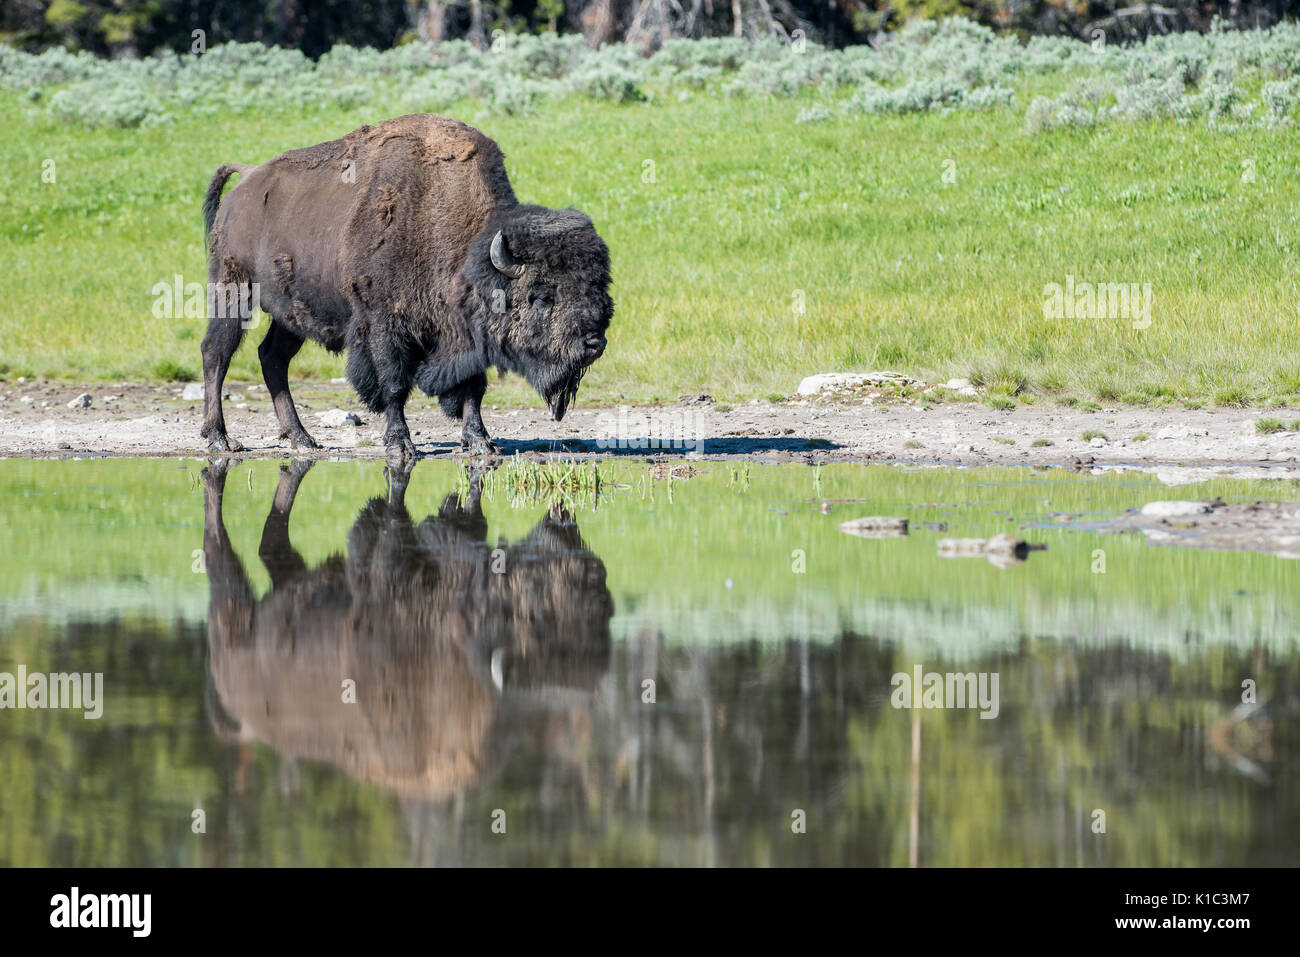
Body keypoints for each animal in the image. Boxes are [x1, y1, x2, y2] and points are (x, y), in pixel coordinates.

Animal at [201, 113, 613, 458]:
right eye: (540, 295)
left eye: (599, 285)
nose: (594, 343)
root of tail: (246, 181)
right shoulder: (384, 326)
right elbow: (394, 385)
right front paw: (400, 445)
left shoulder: (465, 337)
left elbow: (473, 389)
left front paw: (481, 442)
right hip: (232, 290)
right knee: (216, 354)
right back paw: (220, 438)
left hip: (291, 312)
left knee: (272, 357)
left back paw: (302, 438)